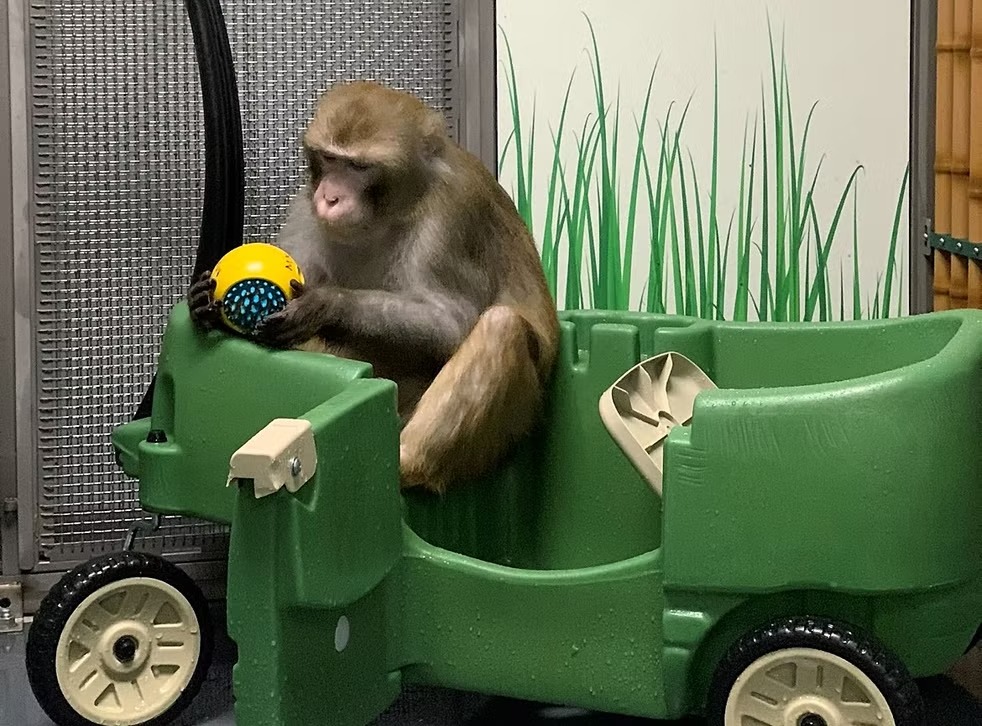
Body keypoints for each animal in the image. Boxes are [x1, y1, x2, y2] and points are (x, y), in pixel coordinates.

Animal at [187, 80, 560, 494]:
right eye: (329, 159)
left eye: (359, 167)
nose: (330, 197)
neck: (388, 213)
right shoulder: (306, 208)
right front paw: (204, 305)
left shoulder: (453, 215)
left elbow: (452, 323)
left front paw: (326, 304)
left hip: (509, 426)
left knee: (500, 326)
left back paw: (402, 464)